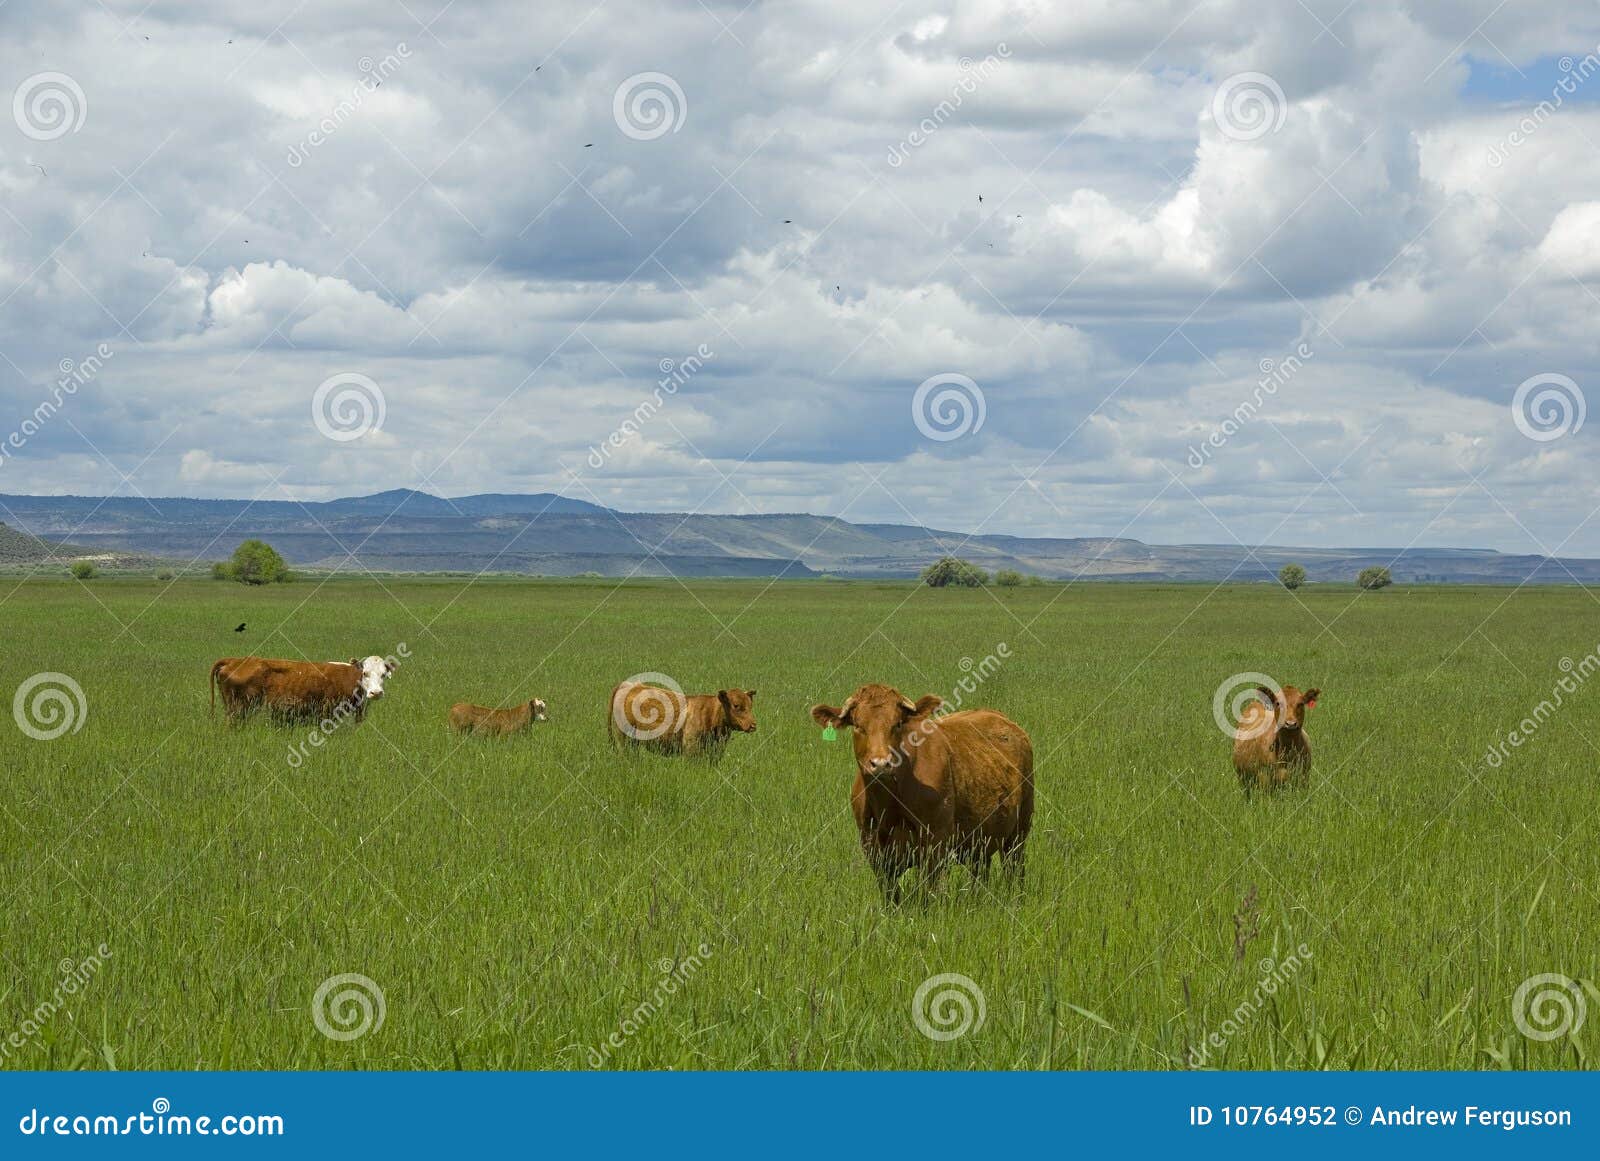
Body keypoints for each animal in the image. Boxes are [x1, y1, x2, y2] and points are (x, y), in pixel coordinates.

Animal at [210, 655, 394, 723]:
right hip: (238, 709)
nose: (376, 693)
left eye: (383, 674)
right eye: (365, 673)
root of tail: (234, 660)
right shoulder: (327, 713)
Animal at [608, 680, 756, 755]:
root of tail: (629, 685)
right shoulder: (691, 748)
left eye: (750, 705)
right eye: (736, 705)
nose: (753, 725)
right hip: (624, 739)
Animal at [809, 683, 1033, 903]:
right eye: (857, 725)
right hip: (981, 837)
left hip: (1019, 831)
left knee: (1014, 871)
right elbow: (891, 897)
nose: (881, 764)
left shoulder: (935, 844)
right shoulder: (873, 848)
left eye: (898, 723)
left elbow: (931, 894)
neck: (889, 805)